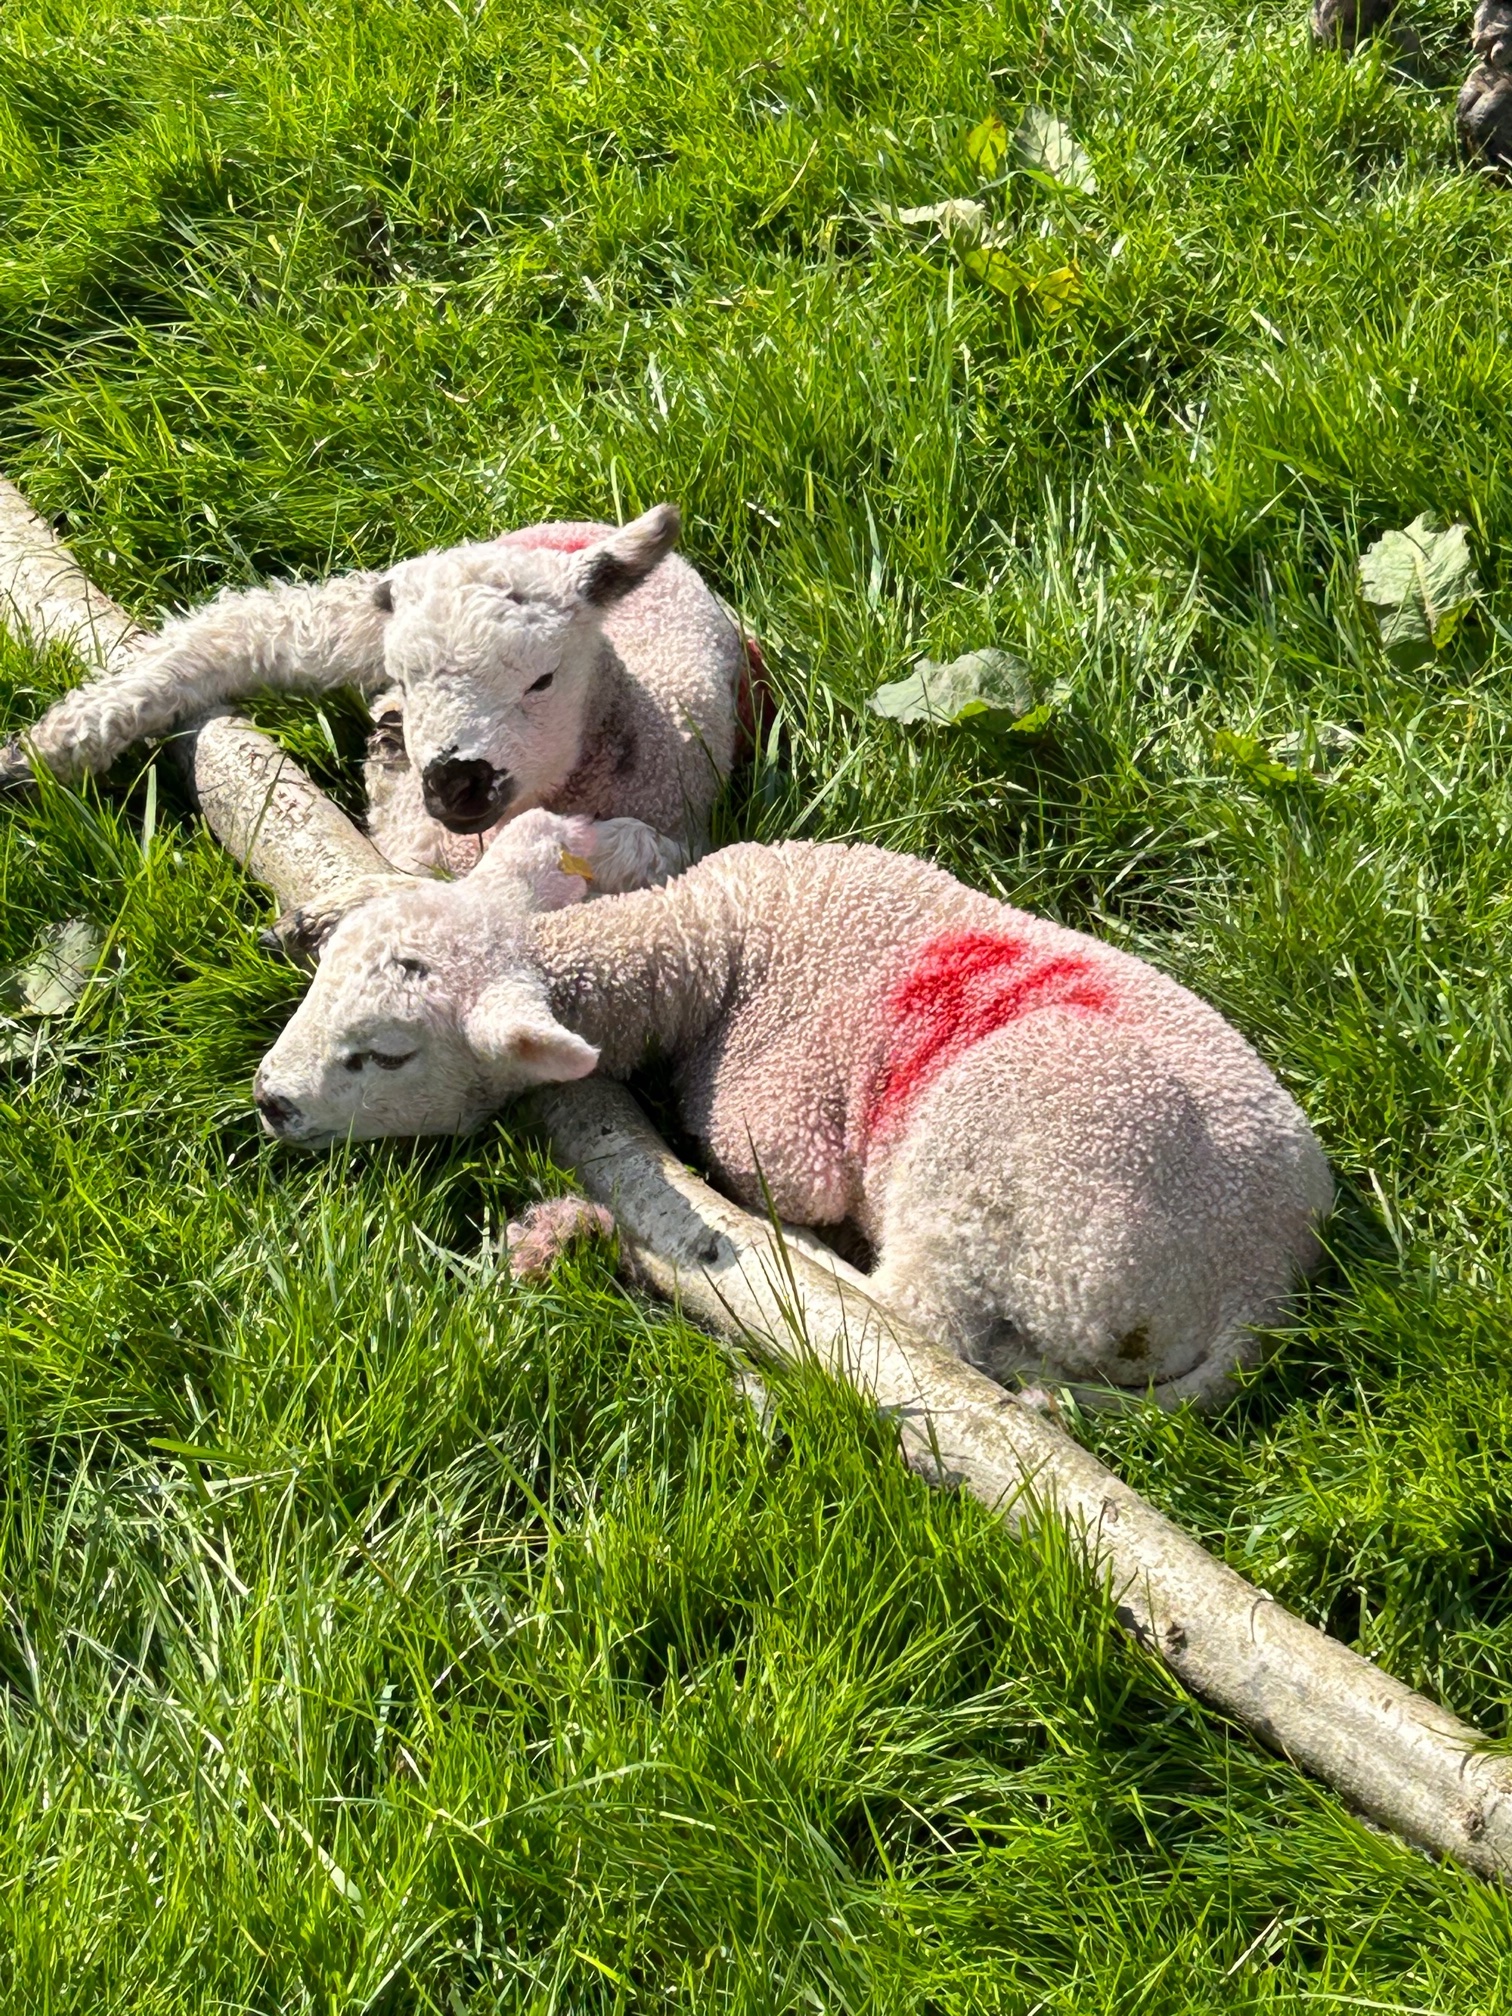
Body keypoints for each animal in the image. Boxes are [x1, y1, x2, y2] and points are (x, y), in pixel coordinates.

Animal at [0, 507, 747, 883]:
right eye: (411, 678)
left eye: (543, 679)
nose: (454, 783)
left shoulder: (680, 833)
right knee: (244, 627)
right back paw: (44, 749)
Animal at [254, 825, 1333, 1405]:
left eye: (386, 1053)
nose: (269, 1101)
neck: (714, 950)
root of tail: (1264, 1271)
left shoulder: (780, 1131)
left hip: (1001, 1186)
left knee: (929, 1320)